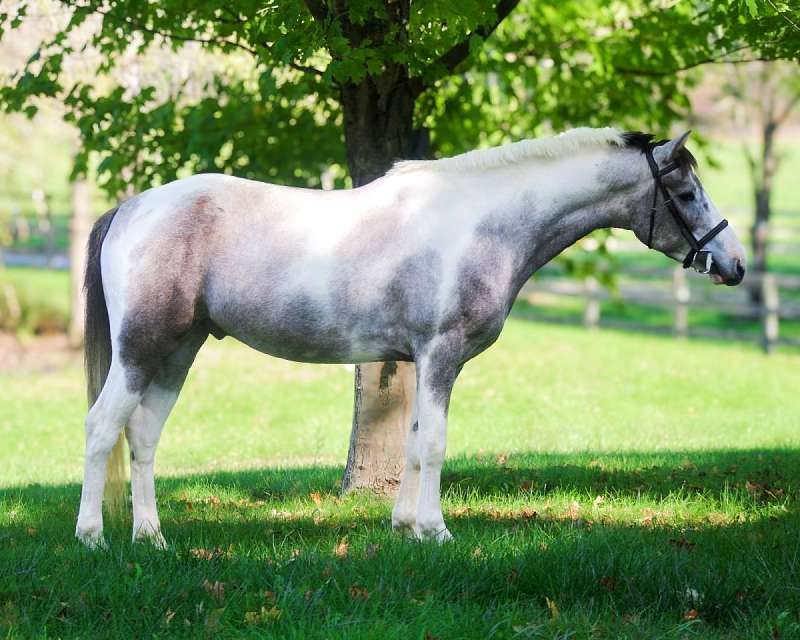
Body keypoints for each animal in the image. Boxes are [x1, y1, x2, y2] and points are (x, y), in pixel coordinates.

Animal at [75, 127, 746, 548]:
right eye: (685, 192)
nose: (734, 264)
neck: (483, 223)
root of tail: (131, 208)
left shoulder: (423, 360)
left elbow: (414, 442)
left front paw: (403, 528)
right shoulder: (442, 353)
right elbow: (436, 444)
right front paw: (436, 531)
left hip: (177, 352)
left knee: (143, 435)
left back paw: (152, 537)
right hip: (140, 350)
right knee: (104, 426)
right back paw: (92, 537)